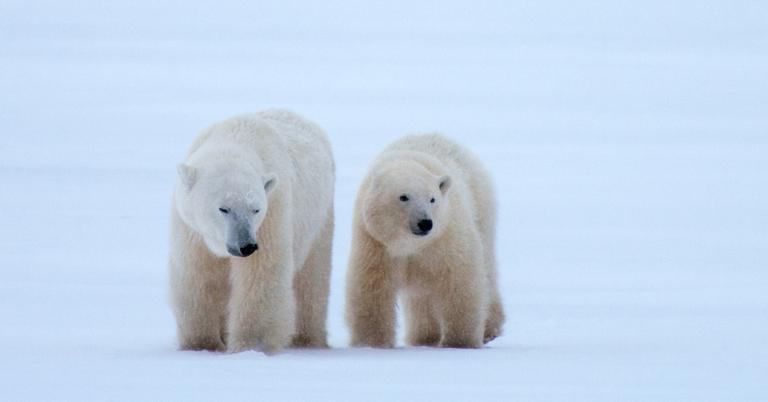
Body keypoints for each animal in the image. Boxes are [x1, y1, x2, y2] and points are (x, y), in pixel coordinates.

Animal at [169, 109, 335, 354]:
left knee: (312, 277)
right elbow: (198, 273)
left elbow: (261, 274)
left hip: (318, 215)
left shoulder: (272, 210)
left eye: (255, 209)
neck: (235, 139)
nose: (246, 246)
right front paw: (202, 344)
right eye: (224, 208)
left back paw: (307, 339)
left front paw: (251, 346)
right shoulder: (190, 226)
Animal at [346, 133, 504, 348]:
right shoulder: (374, 242)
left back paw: (489, 329)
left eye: (432, 199)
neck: (409, 244)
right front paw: (371, 343)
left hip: (481, 208)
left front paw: (459, 342)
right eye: (403, 197)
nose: (425, 223)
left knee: (487, 268)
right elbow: (372, 287)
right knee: (421, 298)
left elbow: (459, 280)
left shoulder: (446, 234)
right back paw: (424, 336)